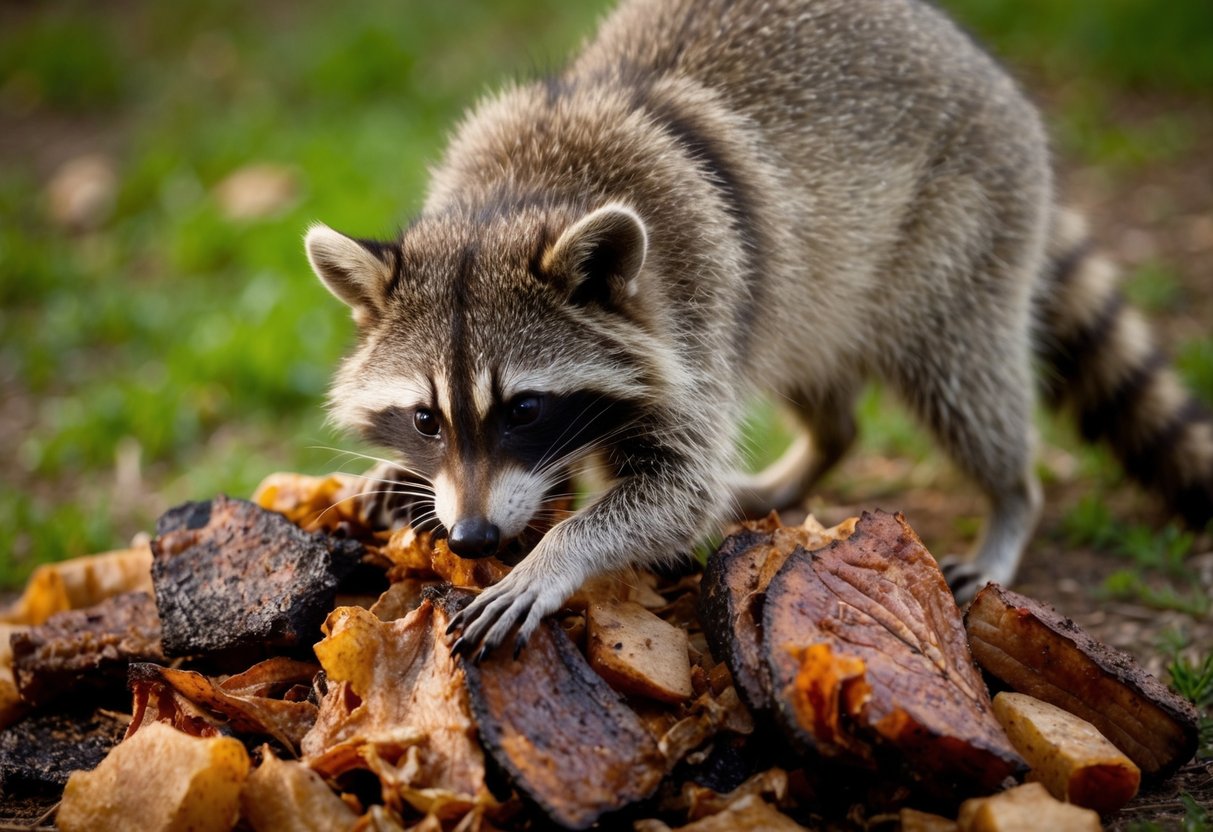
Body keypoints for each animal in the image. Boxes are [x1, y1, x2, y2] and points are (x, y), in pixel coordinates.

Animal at [304, 0, 1213, 659]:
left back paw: (1009, 501)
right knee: (822, 385)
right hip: (812, 282)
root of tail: (970, 55)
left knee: (959, 375)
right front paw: (400, 474)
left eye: (524, 409)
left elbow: (676, 488)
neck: (513, 200)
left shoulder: (691, 302)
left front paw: (555, 554)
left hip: (962, 219)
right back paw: (815, 453)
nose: (474, 536)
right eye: (426, 417)